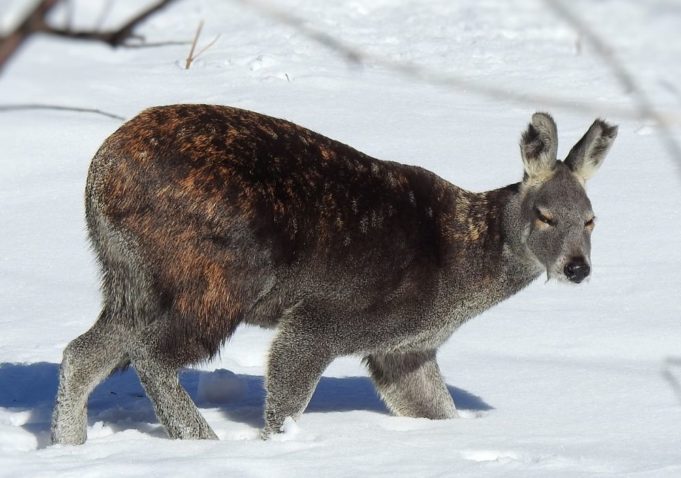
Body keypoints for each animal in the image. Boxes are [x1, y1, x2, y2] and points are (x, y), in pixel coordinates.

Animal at [51, 106, 617, 444]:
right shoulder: (326, 318)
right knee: (150, 354)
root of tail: (99, 174)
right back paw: (201, 442)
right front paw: (276, 447)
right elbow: (284, 400)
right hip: (218, 273)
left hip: (133, 277)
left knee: (84, 351)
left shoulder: (403, 350)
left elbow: (438, 410)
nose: (578, 267)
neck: (457, 268)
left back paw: (68, 445)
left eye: (591, 219)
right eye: (545, 216)